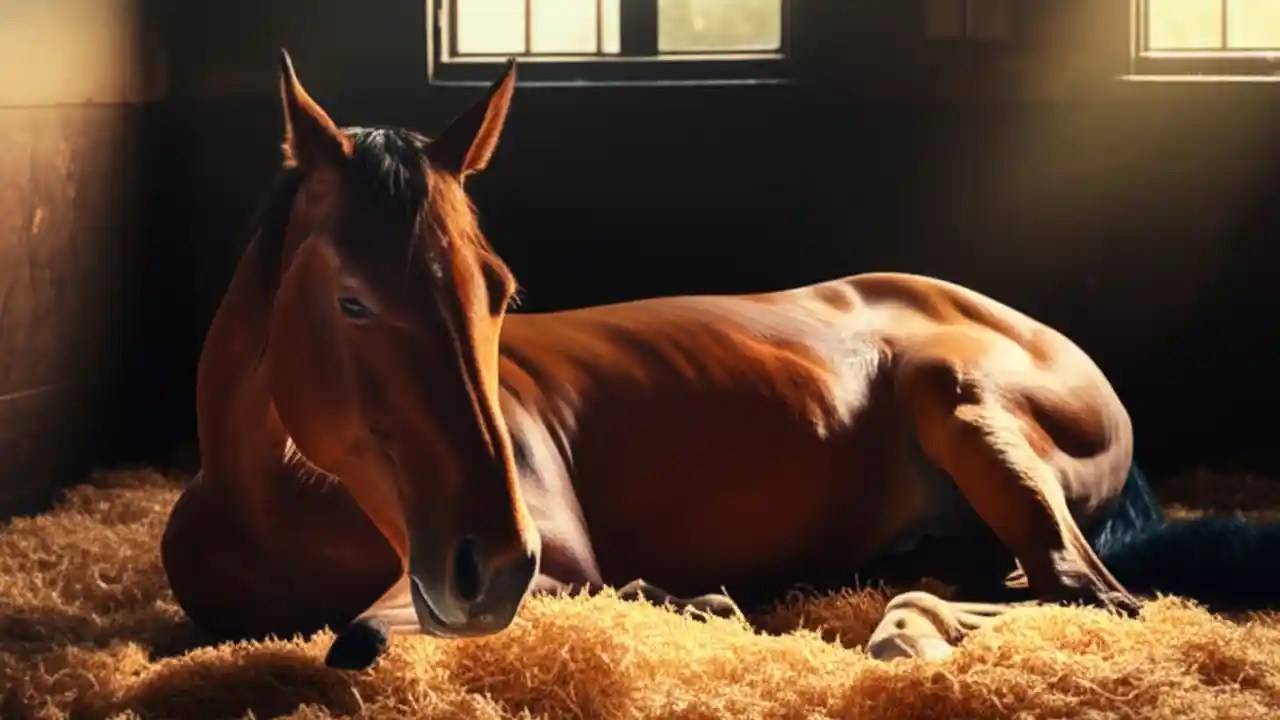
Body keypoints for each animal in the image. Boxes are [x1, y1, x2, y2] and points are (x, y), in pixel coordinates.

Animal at [161, 51, 1278, 671]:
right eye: (350, 300)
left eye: (501, 291)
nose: (498, 565)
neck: (281, 501)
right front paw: (693, 599)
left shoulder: (552, 567)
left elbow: (358, 635)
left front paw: (693, 602)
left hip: (958, 399)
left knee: (1090, 593)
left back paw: (899, 633)